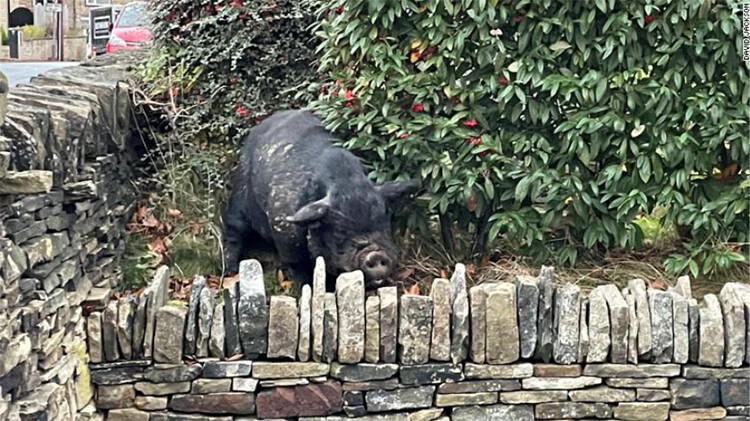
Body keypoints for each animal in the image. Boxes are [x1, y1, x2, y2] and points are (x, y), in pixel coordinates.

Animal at [223, 110, 419, 289]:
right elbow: (298, 264)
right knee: (233, 231)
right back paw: (230, 272)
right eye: (340, 232)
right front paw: (304, 286)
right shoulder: (283, 227)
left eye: (383, 223)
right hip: (239, 196)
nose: (375, 255)